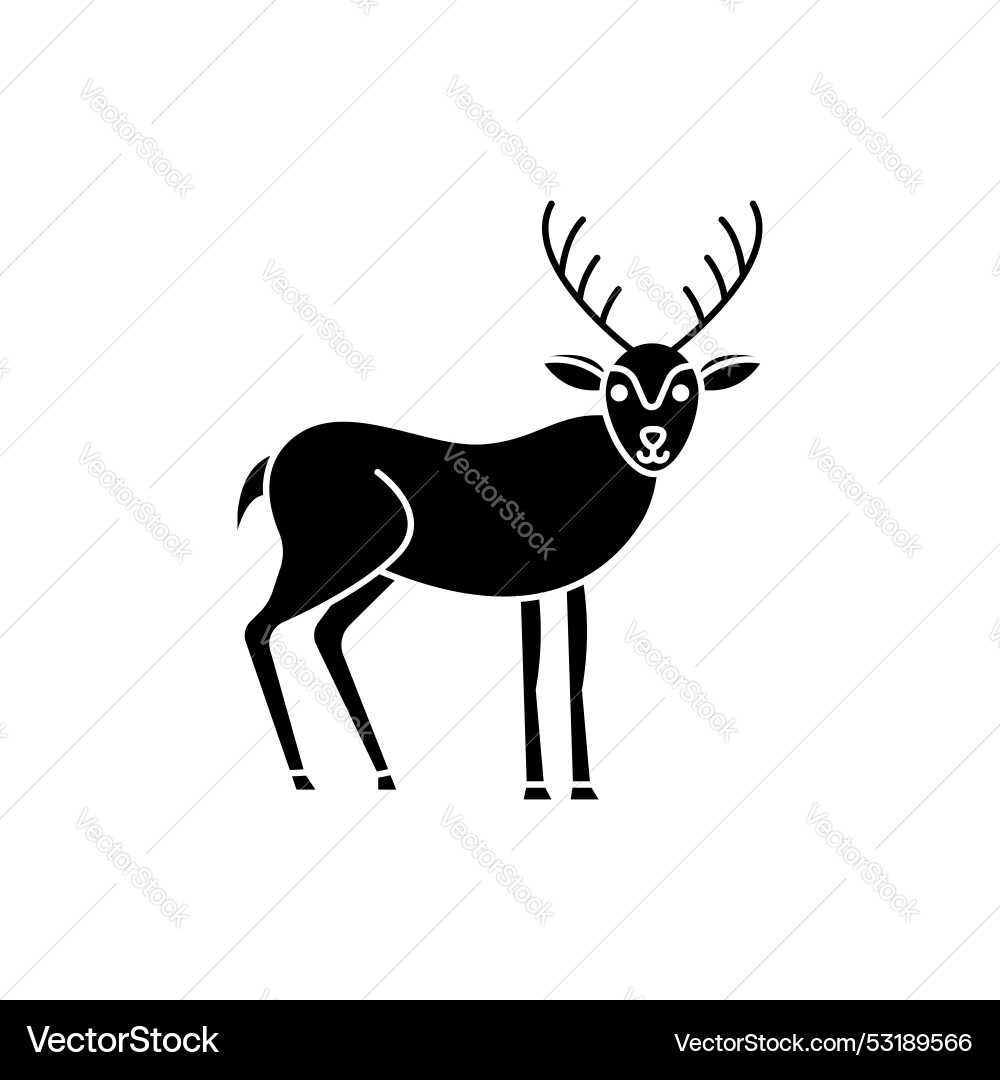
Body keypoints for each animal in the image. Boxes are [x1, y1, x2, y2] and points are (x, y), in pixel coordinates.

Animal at [238, 198, 763, 799]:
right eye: (617, 386)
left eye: (685, 386)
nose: (652, 443)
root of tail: (274, 460)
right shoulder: (532, 579)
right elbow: (536, 668)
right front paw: (542, 787)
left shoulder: (563, 582)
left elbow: (571, 665)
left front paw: (575, 786)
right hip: (327, 556)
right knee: (261, 627)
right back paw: (303, 777)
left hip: (377, 569)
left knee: (327, 631)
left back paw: (385, 776)